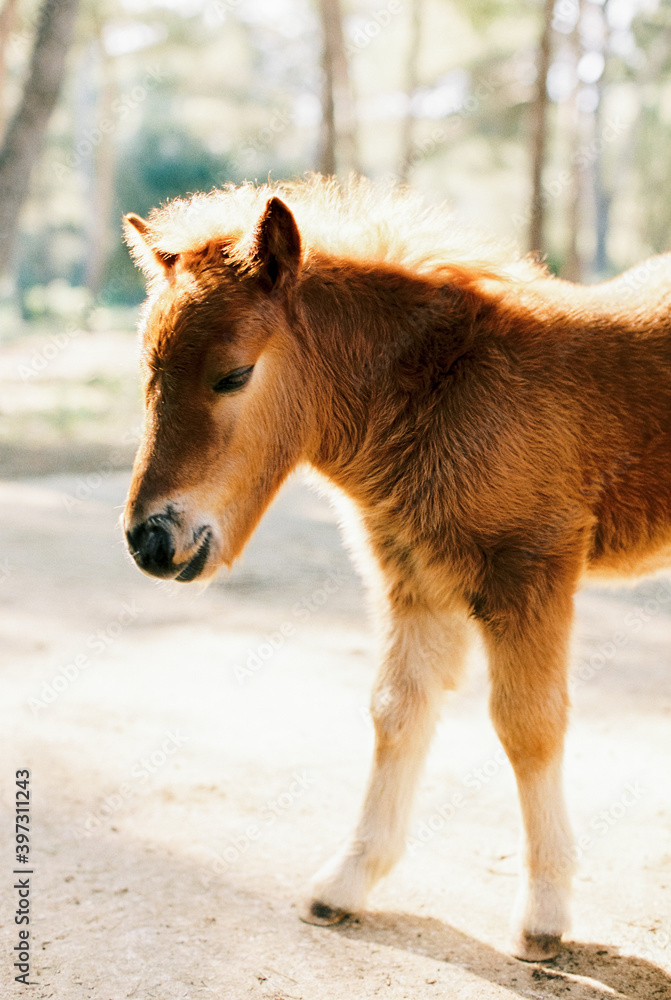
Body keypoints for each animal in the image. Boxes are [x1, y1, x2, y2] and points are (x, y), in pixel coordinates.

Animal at [122, 175, 671, 962]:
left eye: (233, 374)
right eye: (147, 372)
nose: (149, 542)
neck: (446, 391)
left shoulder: (530, 569)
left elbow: (527, 726)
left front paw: (543, 915)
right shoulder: (415, 576)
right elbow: (396, 711)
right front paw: (347, 883)